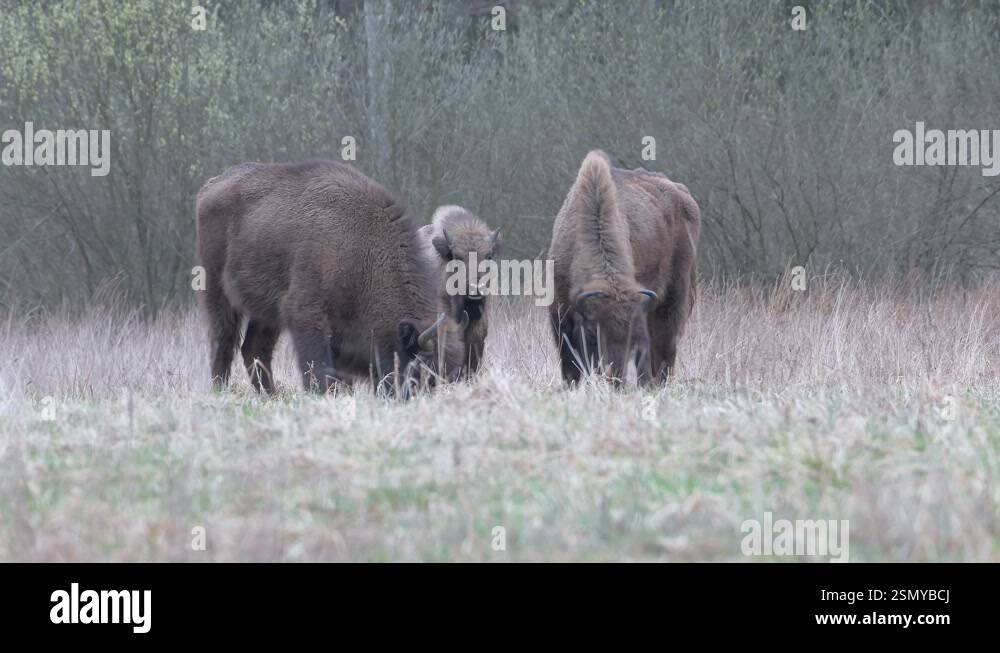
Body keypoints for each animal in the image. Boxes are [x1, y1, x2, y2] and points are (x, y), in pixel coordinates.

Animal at [196, 160, 467, 395]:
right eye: (419, 369)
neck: (365, 250)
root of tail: (211, 187)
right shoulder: (306, 314)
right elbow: (316, 365)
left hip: (266, 311)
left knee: (254, 349)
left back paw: (270, 395)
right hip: (216, 288)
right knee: (223, 338)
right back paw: (220, 389)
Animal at [548, 150, 699, 386]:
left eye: (630, 336)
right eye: (592, 332)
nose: (615, 377)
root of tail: (683, 195)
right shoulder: (560, 311)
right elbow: (570, 362)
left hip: (674, 297)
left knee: (665, 344)